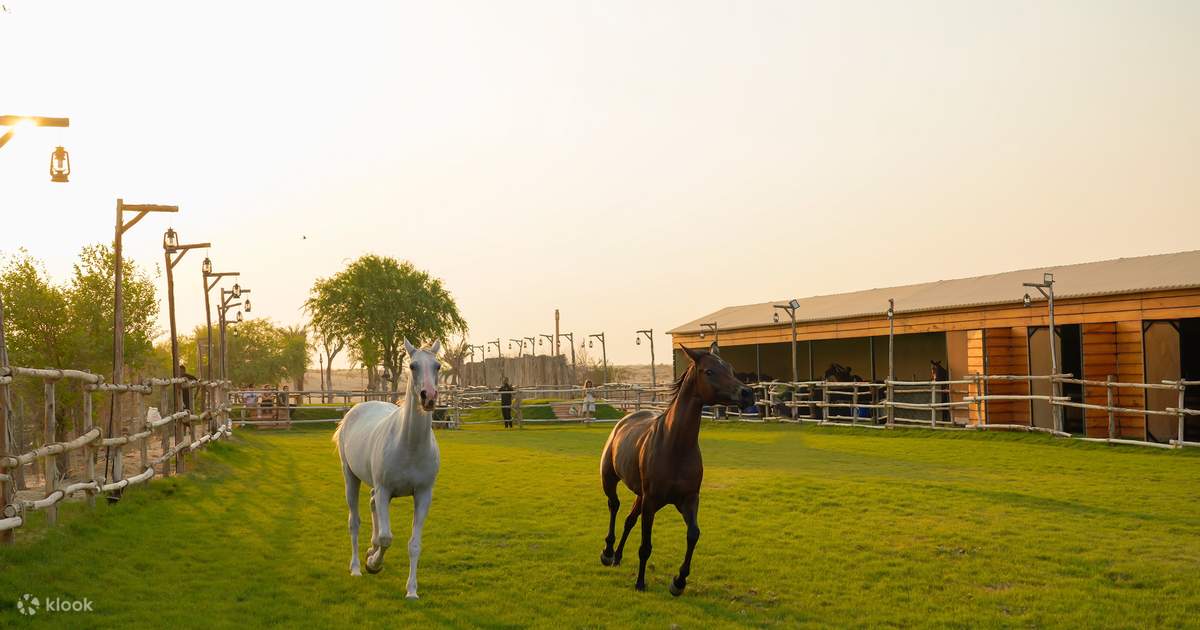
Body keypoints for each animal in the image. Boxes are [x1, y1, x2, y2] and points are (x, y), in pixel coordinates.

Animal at [333, 339, 442, 599]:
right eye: (412, 366)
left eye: (438, 366)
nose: (429, 397)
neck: (409, 446)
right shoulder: (385, 490)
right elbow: (386, 537)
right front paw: (373, 564)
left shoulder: (423, 495)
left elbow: (414, 544)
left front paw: (411, 590)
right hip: (350, 477)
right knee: (354, 522)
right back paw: (356, 567)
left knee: (372, 504)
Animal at [599, 342, 753, 595]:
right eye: (709, 371)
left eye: (730, 369)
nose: (747, 393)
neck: (675, 445)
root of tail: (624, 419)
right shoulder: (652, 502)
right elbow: (645, 545)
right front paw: (640, 582)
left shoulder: (688, 499)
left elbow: (693, 534)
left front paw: (678, 582)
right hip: (610, 480)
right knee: (614, 506)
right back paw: (608, 553)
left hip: (640, 495)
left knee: (629, 519)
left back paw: (618, 556)